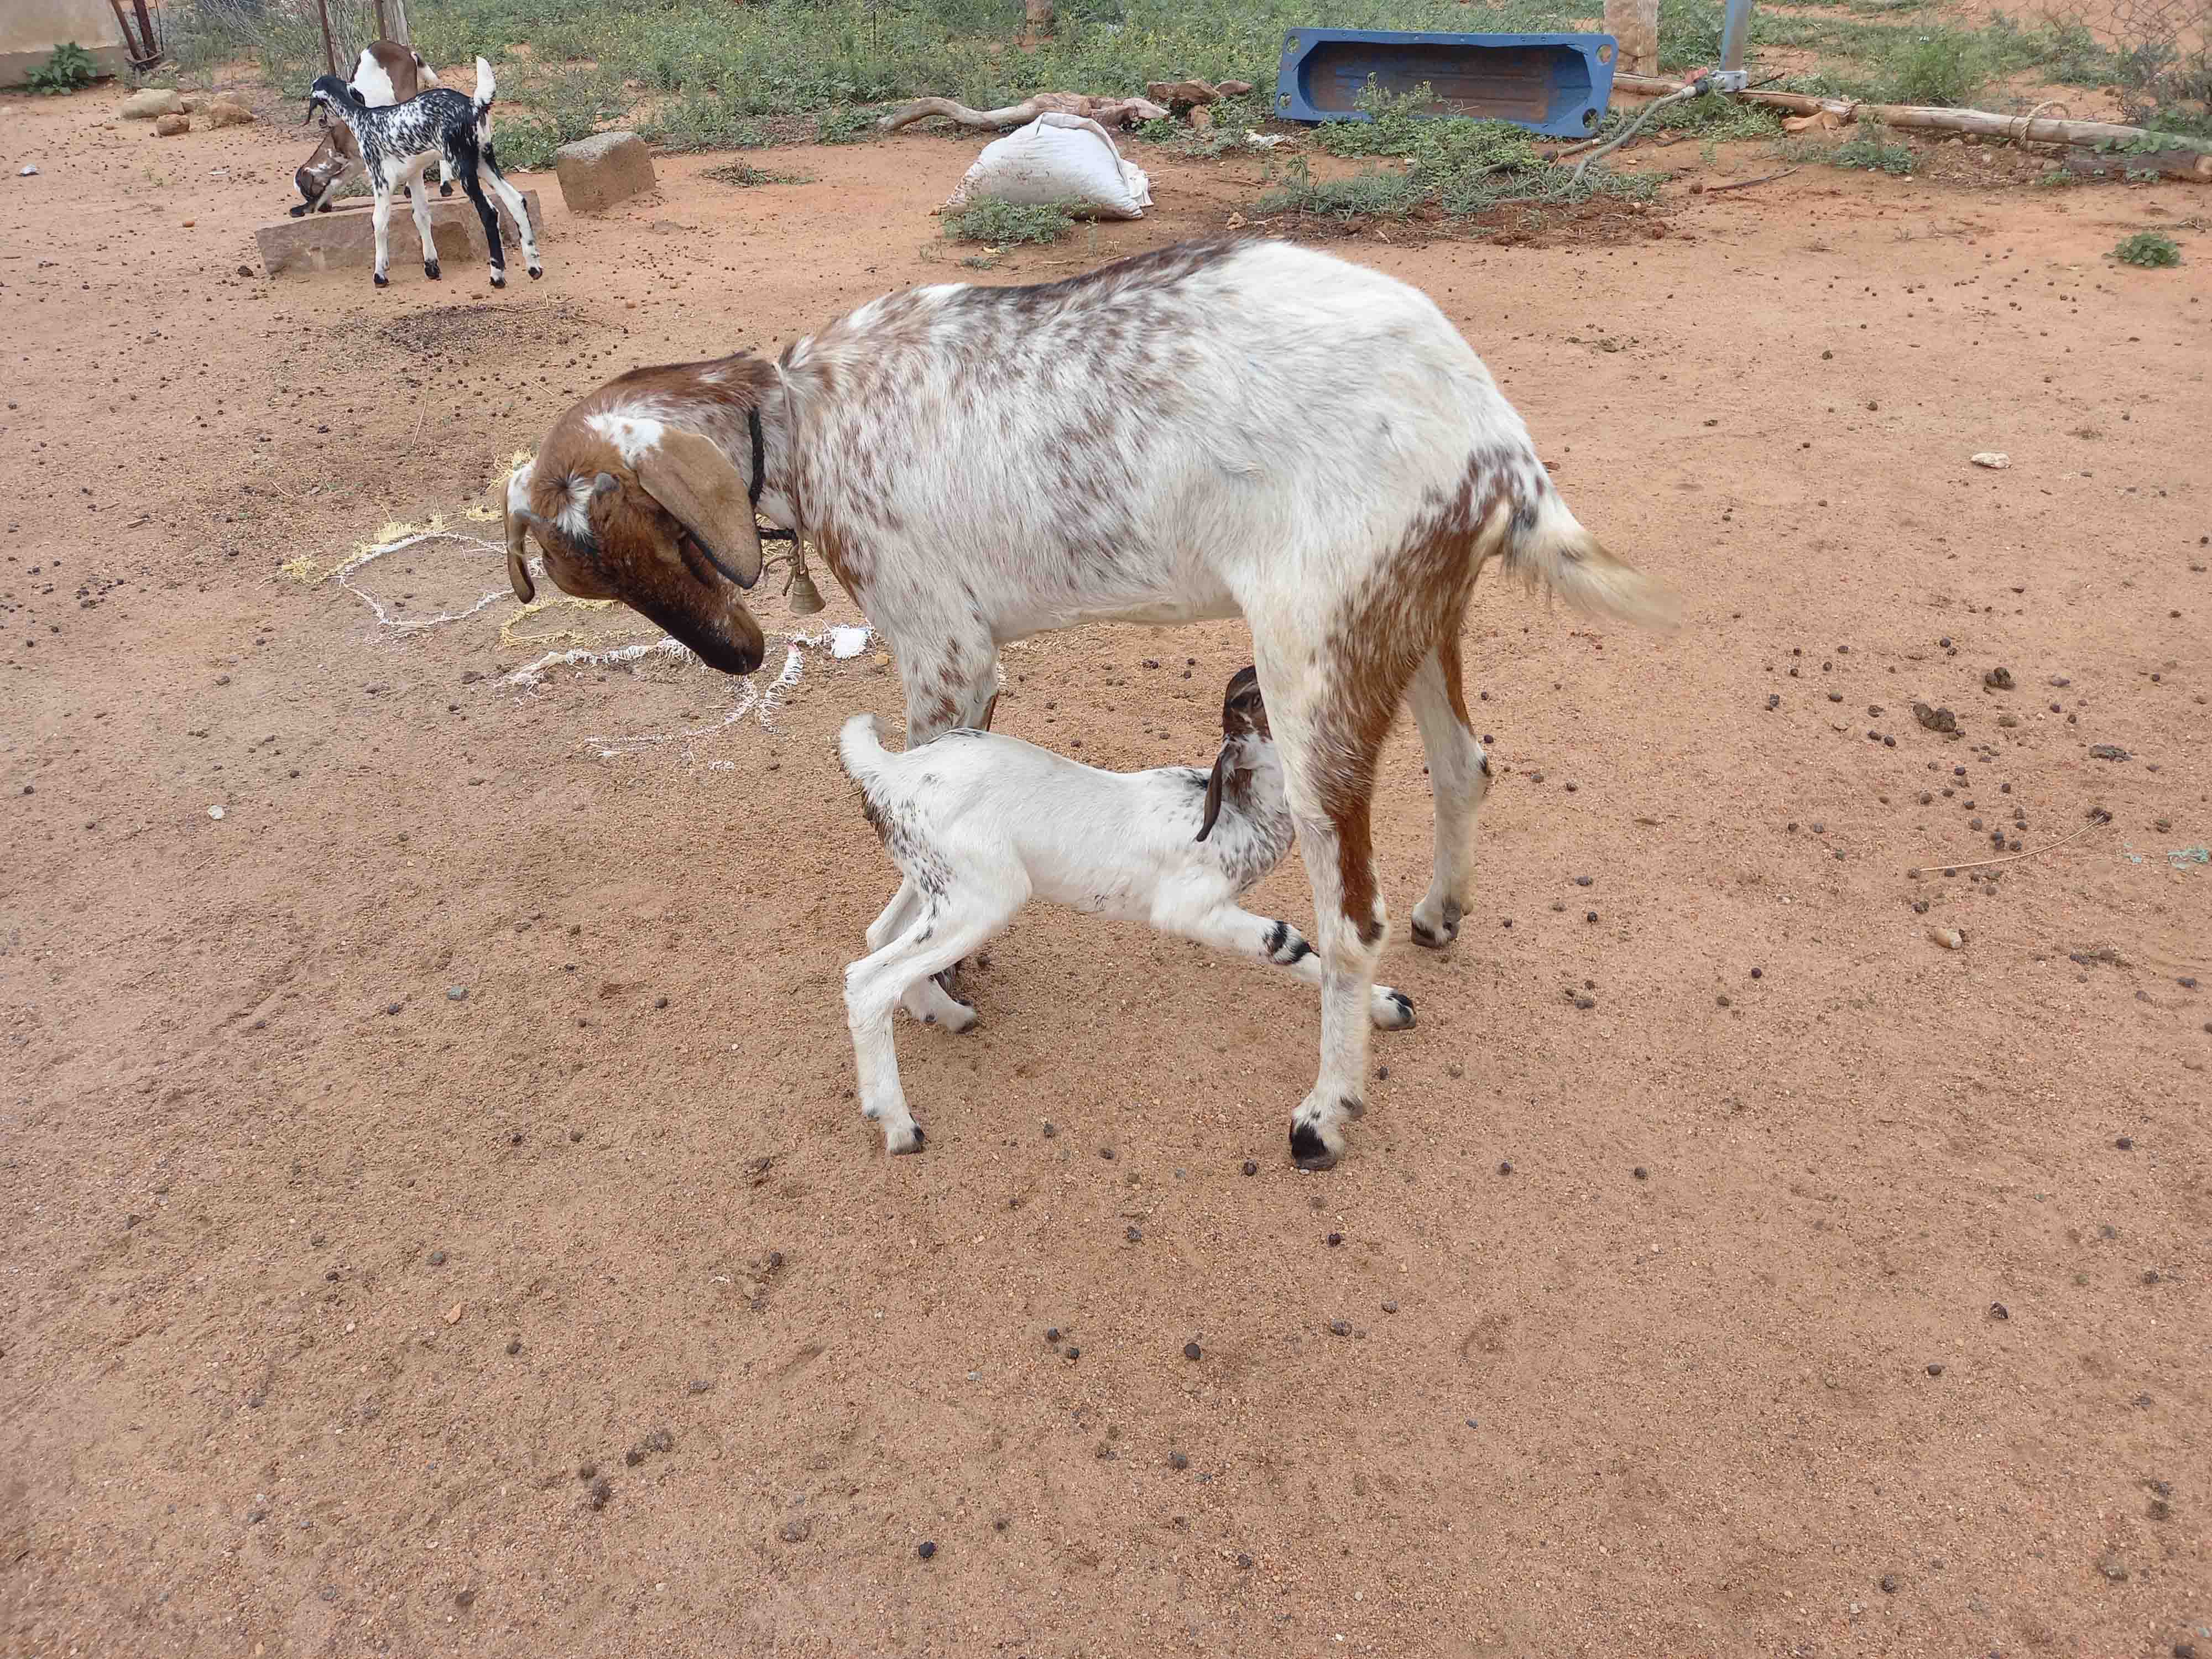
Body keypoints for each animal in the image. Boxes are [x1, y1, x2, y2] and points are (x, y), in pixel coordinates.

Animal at [291, 42, 452, 217]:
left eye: (308, 192)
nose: (324, 209)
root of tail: (404, 49)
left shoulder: (361, 159)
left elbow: (335, 180)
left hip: (405, 94)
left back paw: (444, 187)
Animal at [302, 55, 540, 290]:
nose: (323, 121)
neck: (363, 117)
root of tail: (474, 105)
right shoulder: (414, 176)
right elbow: (421, 216)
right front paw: (431, 266)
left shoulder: (381, 182)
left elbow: (379, 223)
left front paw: (380, 274)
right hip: (485, 162)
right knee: (516, 201)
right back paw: (533, 267)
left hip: (463, 168)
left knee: (489, 213)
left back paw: (497, 275)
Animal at [838, 668, 1415, 1154]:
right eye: (1263, 703)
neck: (1234, 816)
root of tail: (891, 770)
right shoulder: (1188, 910)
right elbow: (1286, 942)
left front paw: (1389, 1005)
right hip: (983, 898)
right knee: (867, 981)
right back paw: (898, 1124)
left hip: (933, 882)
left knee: (880, 935)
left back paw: (949, 1014)